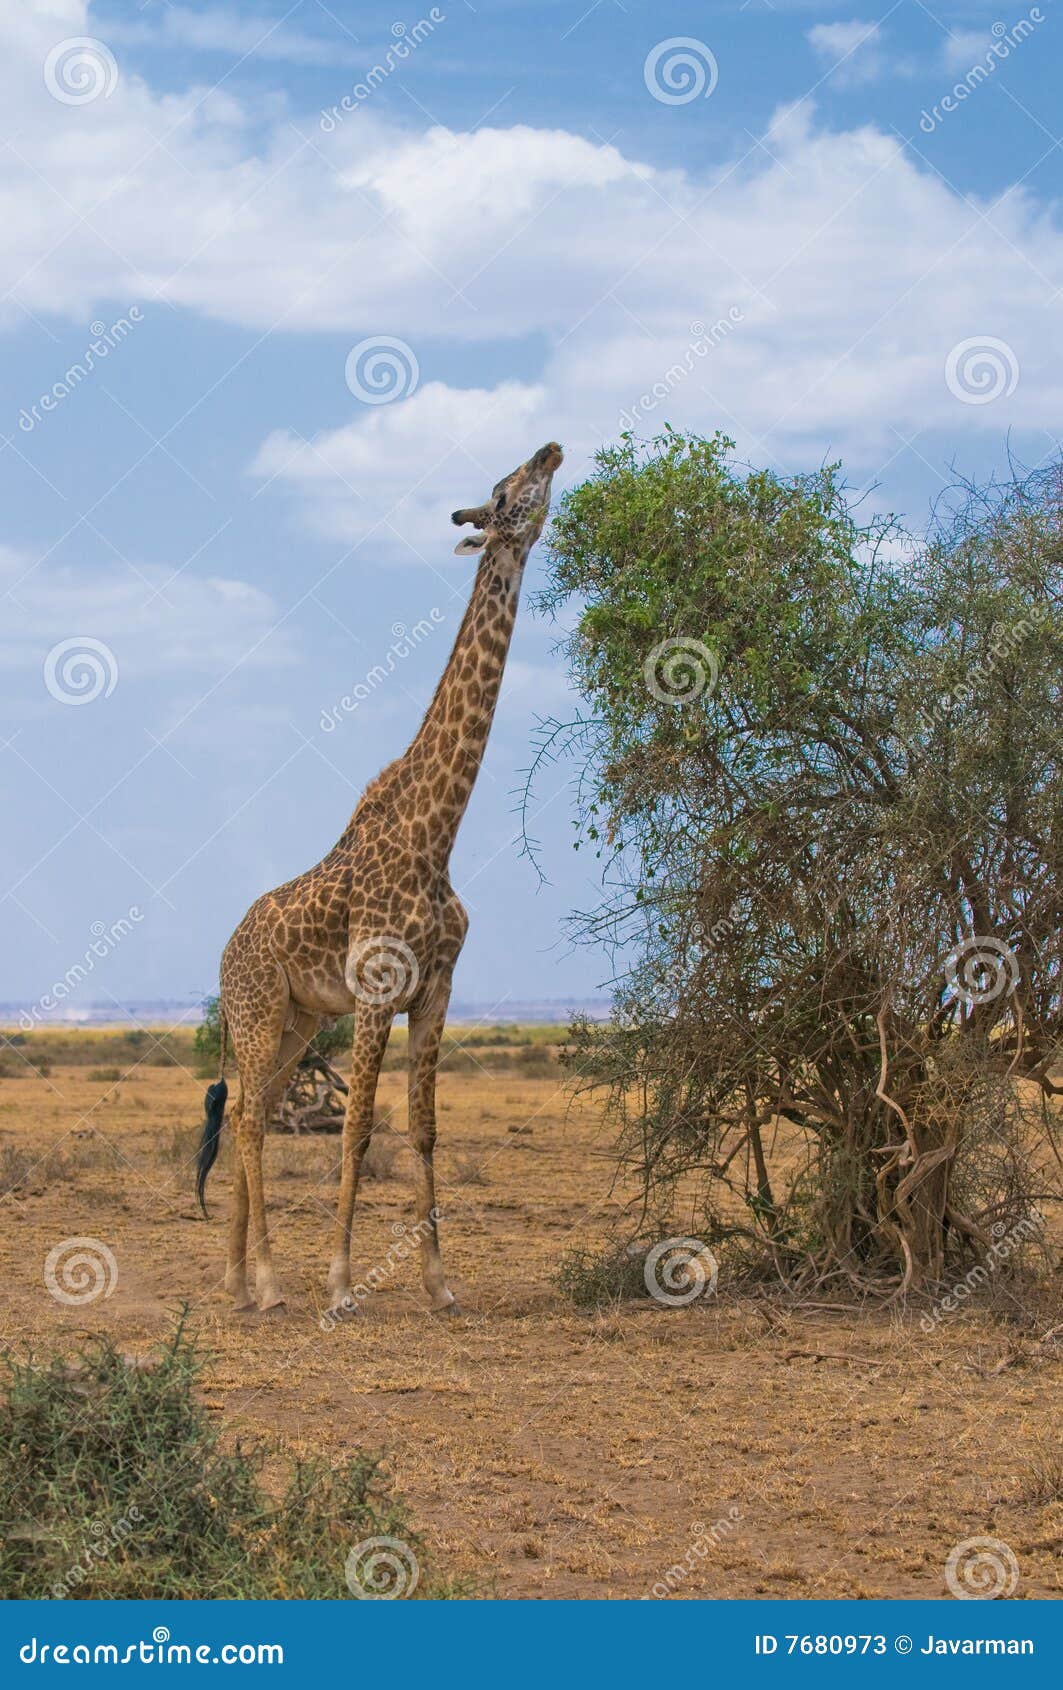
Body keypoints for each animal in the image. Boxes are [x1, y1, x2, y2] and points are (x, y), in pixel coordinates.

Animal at [196, 441, 564, 1315]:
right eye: (504, 490)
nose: (551, 450)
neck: (436, 839)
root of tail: (224, 951)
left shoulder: (435, 992)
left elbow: (422, 1129)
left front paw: (439, 1284)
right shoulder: (372, 994)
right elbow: (359, 1127)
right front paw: (338, 1282)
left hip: (295, 1022)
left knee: (252, 1109)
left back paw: (234, 1277)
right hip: (257, 1012)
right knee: (252, 1121)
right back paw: (269, 1282)